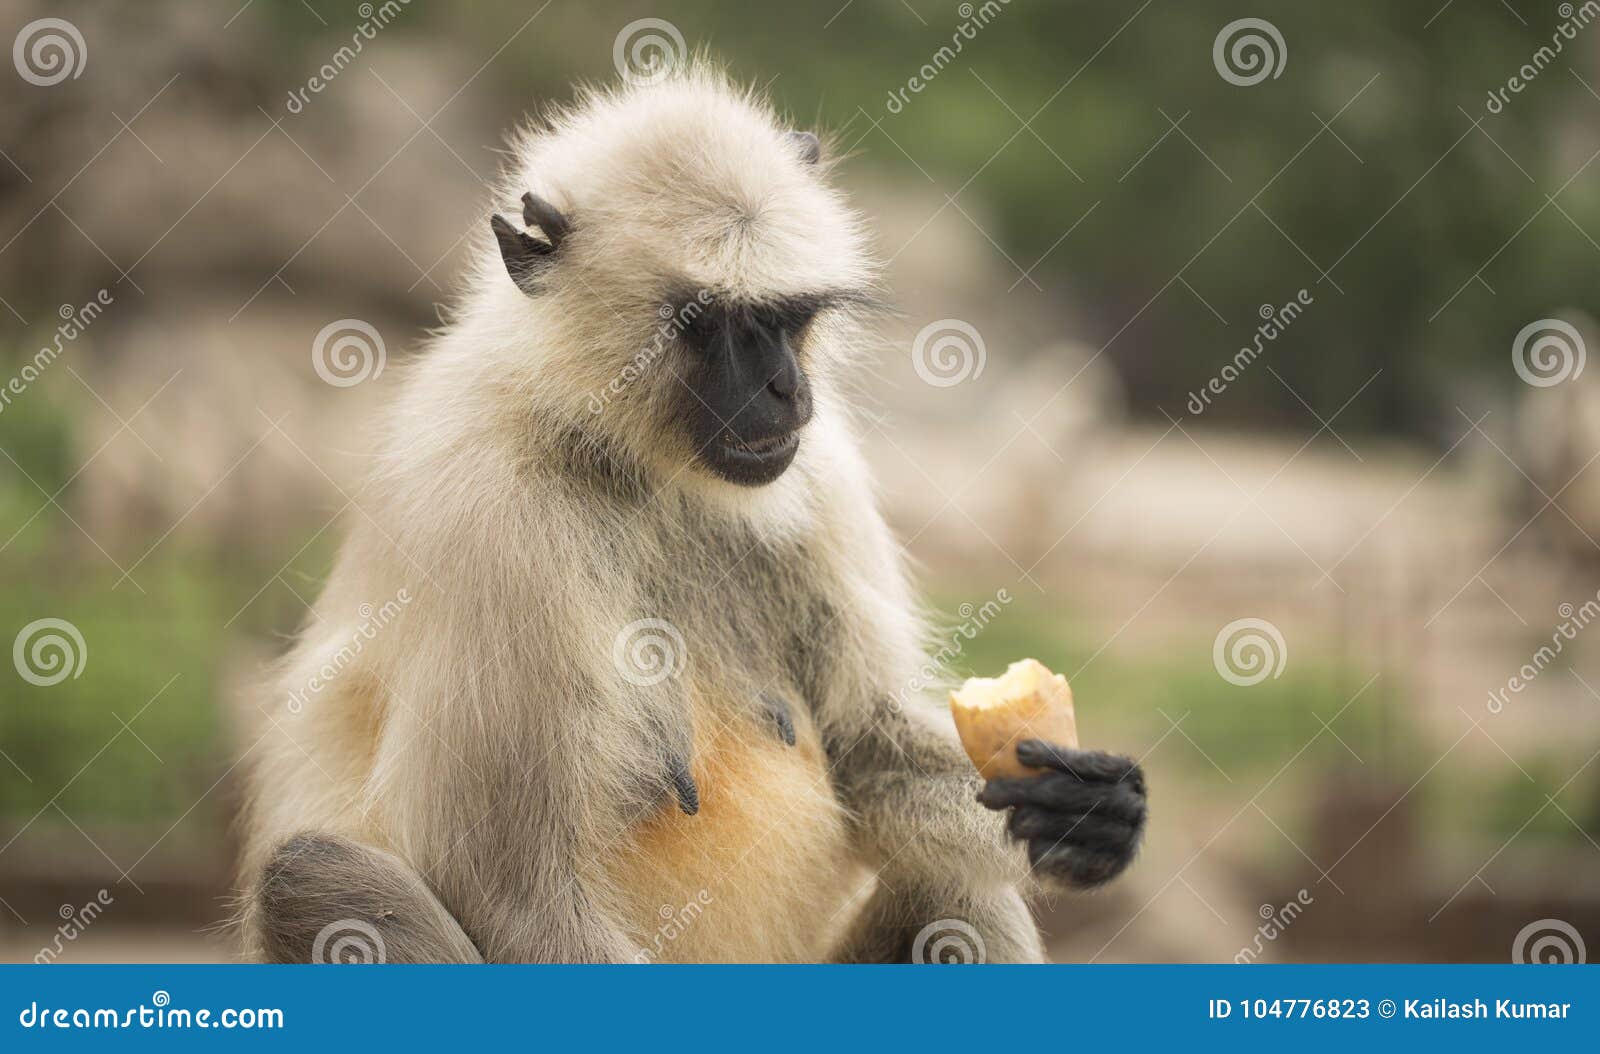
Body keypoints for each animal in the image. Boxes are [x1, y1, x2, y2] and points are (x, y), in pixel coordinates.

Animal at [238, 65, 1146, 964]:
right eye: (712, 326)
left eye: (785, 318)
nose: (783, 387)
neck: (631, 463)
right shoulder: (487, 518)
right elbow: (511, 891)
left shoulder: (819, 466)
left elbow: (864, 751)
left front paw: (1085, 814)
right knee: (316, 876)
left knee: (957, 891)